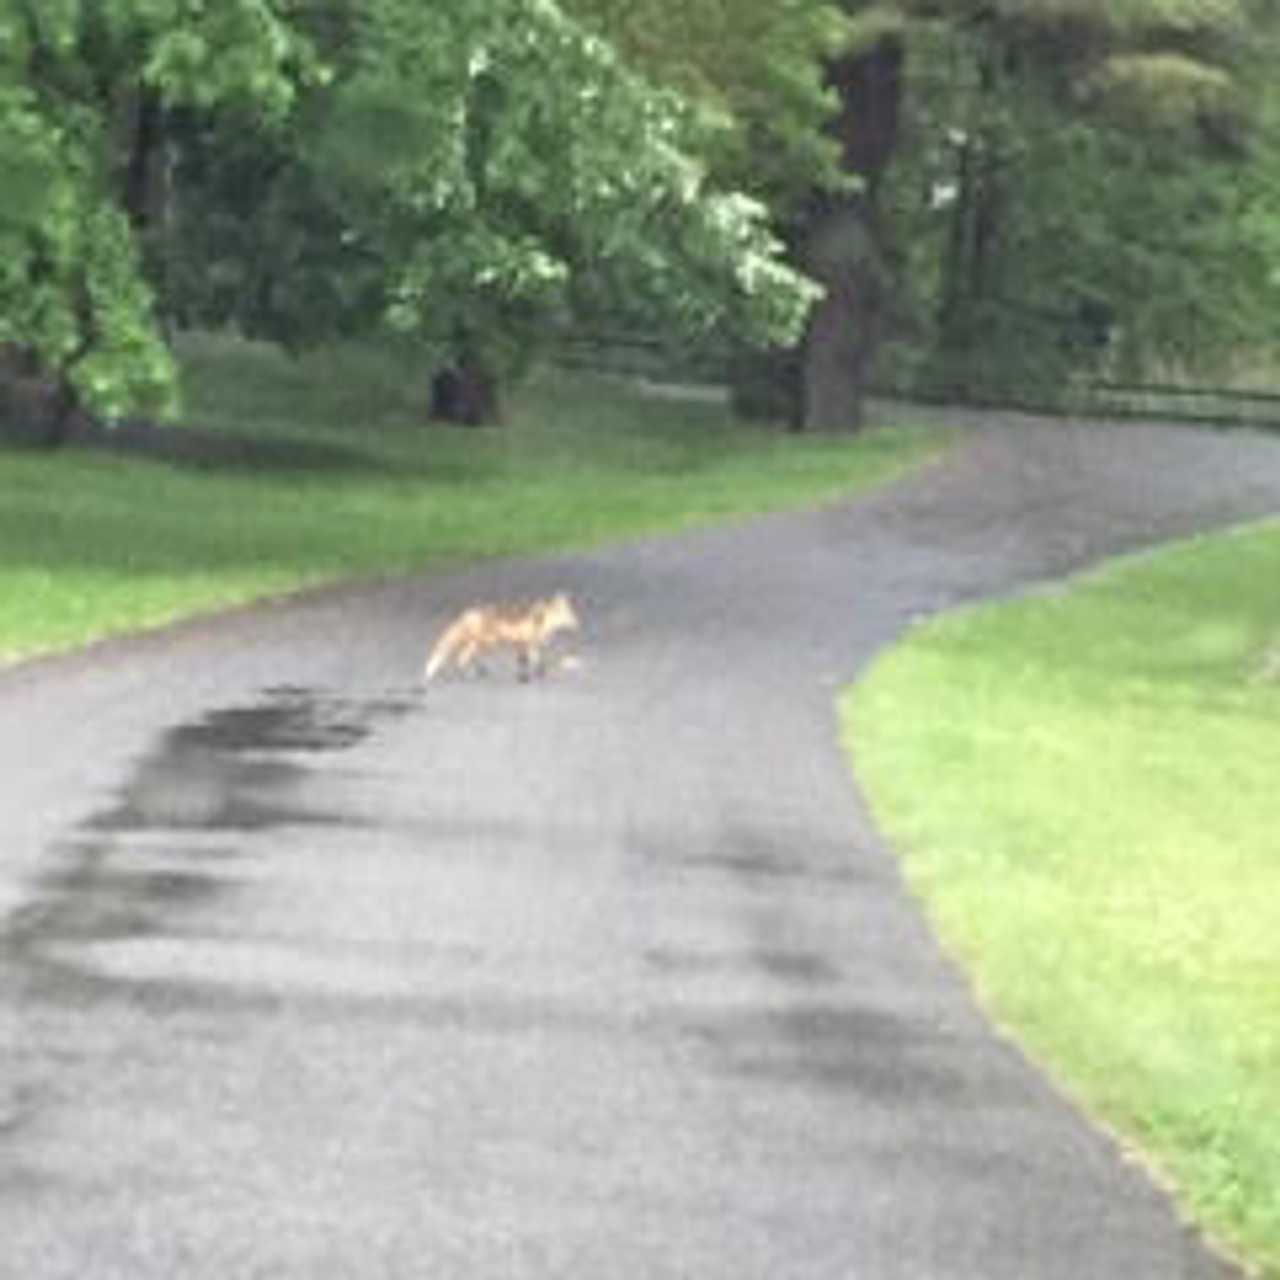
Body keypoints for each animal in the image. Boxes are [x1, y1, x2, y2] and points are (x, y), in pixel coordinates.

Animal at [423, 592, 580, 683]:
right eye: (569, 615)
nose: (578, 624)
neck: (542, 622)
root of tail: (469, 613)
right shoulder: (525, 644)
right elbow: (526, 663)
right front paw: (525, 678)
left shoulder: (530, 645)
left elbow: (536, 663)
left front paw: (538, 675)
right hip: (484, 643)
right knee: (463, 657)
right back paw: (471, 674)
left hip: (478, 644)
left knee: (463, 658)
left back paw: (476, 672)